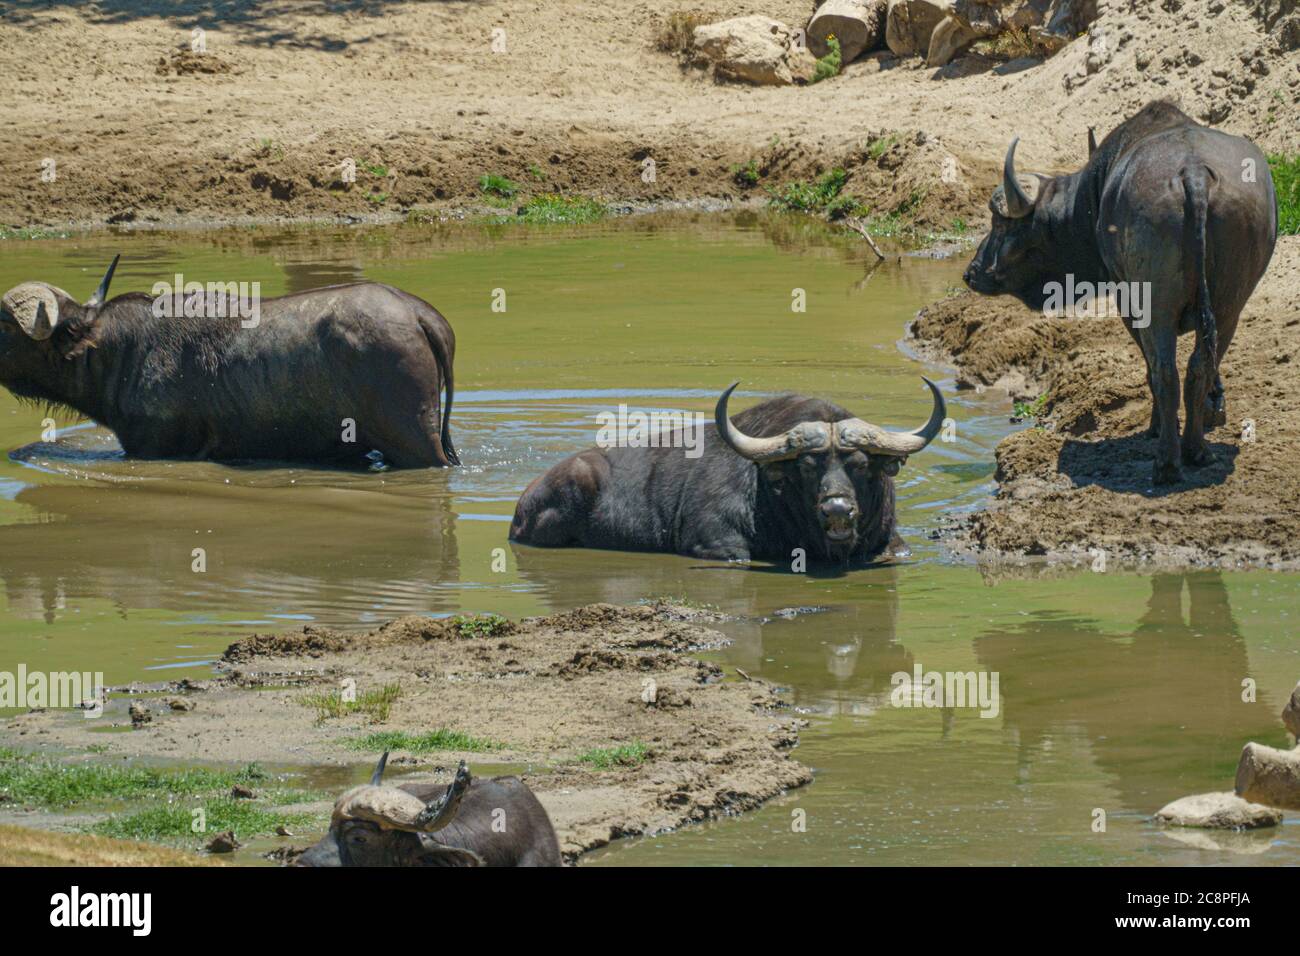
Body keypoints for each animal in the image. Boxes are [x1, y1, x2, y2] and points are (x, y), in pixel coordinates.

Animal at [510, 380, 946, 565]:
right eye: (807, 467)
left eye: (861, 466)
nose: (837, 509)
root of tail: (523, 504)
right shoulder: (716, 544)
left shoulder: (892, 543)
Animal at [964, 101, 1278, 485]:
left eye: (999, 224)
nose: (972, 273)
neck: (1095, 197)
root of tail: (1194, 174)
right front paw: (1214, 408)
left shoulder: (1125, 299)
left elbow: (1150, 368)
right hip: (1229, 304)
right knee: (1200, 366)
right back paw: (1196, 450)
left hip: (1154, 305)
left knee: (1165, 374)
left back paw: (1167, 462)